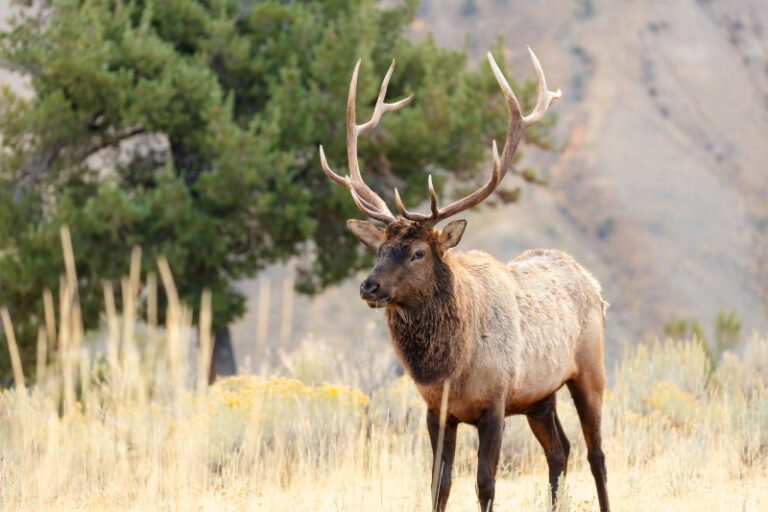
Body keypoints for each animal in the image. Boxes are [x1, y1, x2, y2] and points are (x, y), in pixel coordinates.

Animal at [318, 48, 610, 512]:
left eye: (418, 252)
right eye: (379, 249)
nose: (369, 286)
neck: (452, 369)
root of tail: (592, 282)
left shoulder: (495, 402)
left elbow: (485, 484)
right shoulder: (437, 411)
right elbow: (439, 484)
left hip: (589, 369)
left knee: (596, 453)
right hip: (539, 397)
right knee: (560, 451)